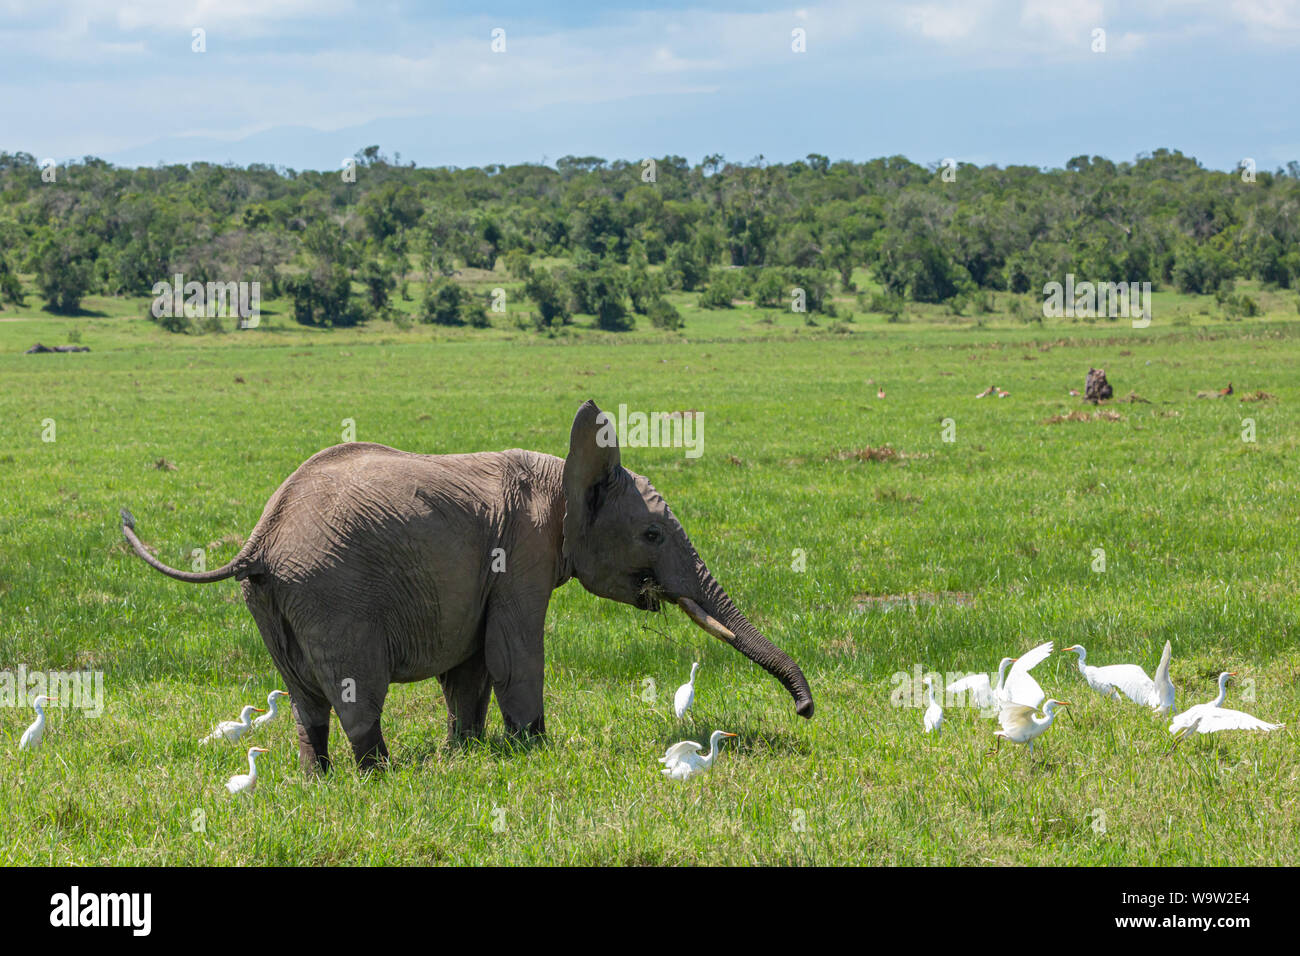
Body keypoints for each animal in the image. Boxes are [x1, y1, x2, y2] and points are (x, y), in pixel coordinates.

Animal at [121, 400, 814, 773]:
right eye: (651, 534)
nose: (806, 712)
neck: (561, 474)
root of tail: (260, 539)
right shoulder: (521, 553)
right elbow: (512, 653)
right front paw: (532, 750)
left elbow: (471, 668)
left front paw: (469, 752)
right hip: (330, 594)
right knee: (357, 691)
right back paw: (379, 777)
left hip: (272, 602)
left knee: (304, 701)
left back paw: (317, 779)